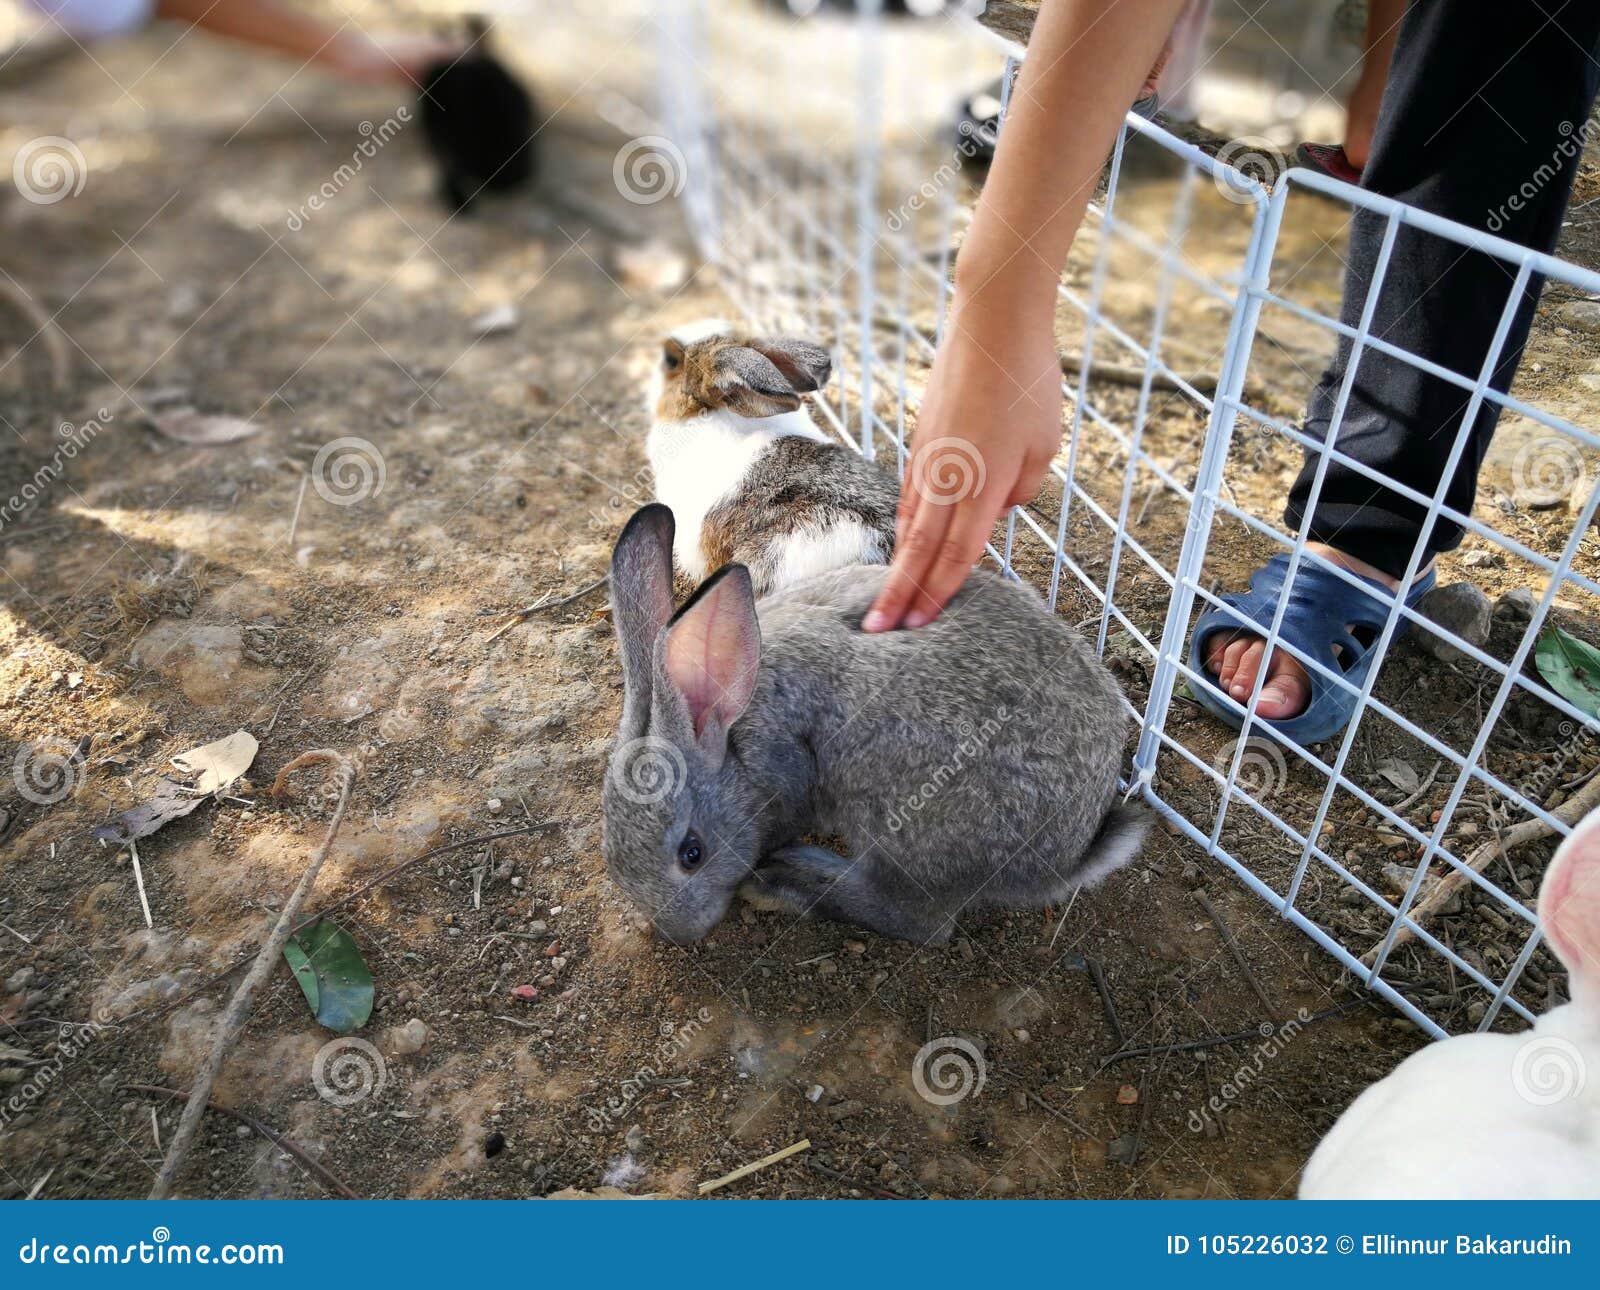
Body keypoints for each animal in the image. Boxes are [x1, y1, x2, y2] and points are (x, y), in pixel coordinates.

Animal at [600, 503, 1148, 946]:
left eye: (692, 853)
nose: (678, 933)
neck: (730, 733)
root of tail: (1066, 857)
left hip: (904, 818)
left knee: (918, 921)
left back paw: (788, 881)